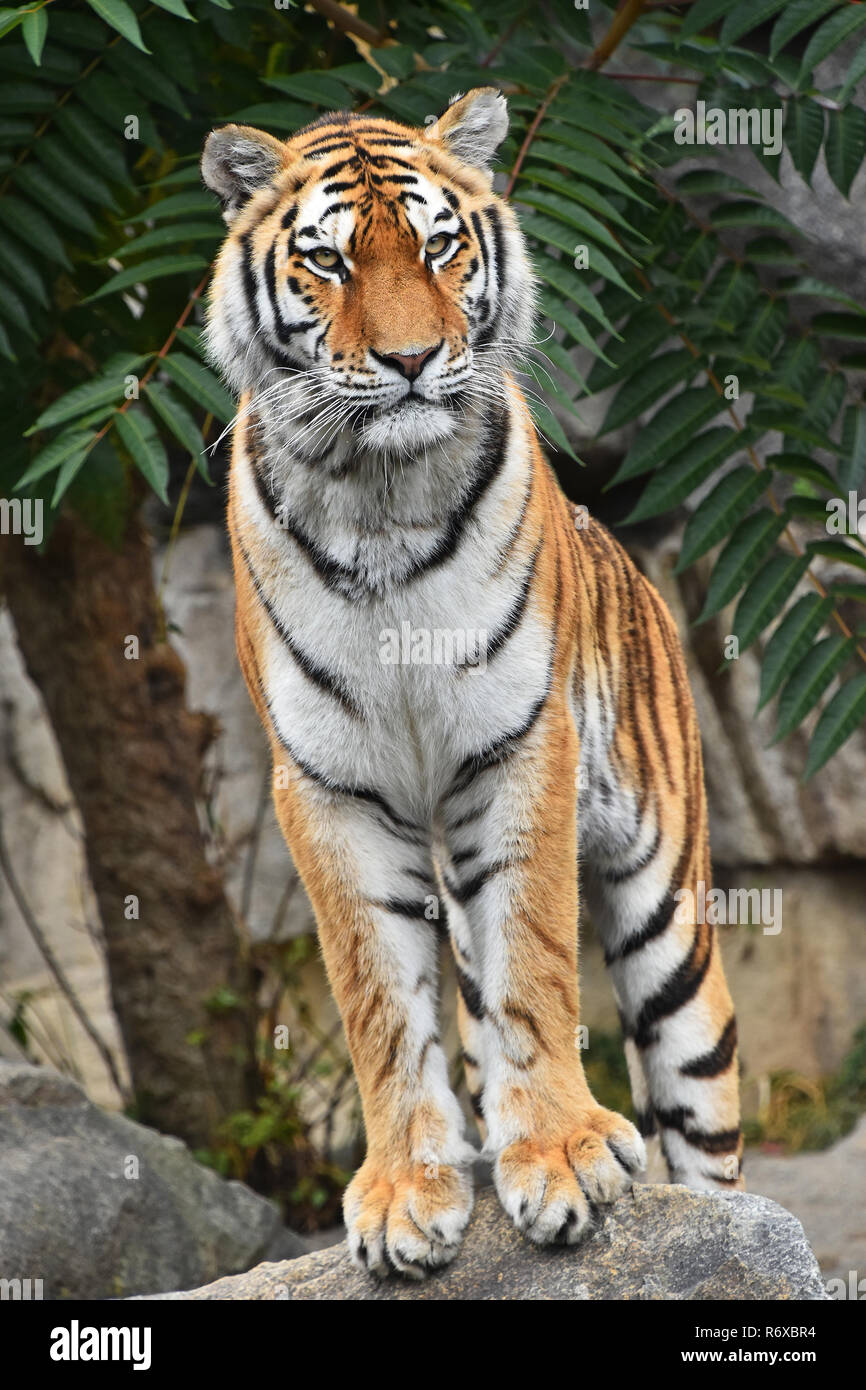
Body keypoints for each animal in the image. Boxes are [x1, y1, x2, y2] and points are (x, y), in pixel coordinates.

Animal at [201, 86, 742, 1280]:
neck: (377, 493)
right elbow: (378, 997)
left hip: (673, 928)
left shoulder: (519, 740)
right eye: (328, 260)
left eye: (440, 246)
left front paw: (563, 1155)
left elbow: (532, 956)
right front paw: (409, 1191)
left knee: (708, 1135)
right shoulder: (328, 784)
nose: (409, 359)